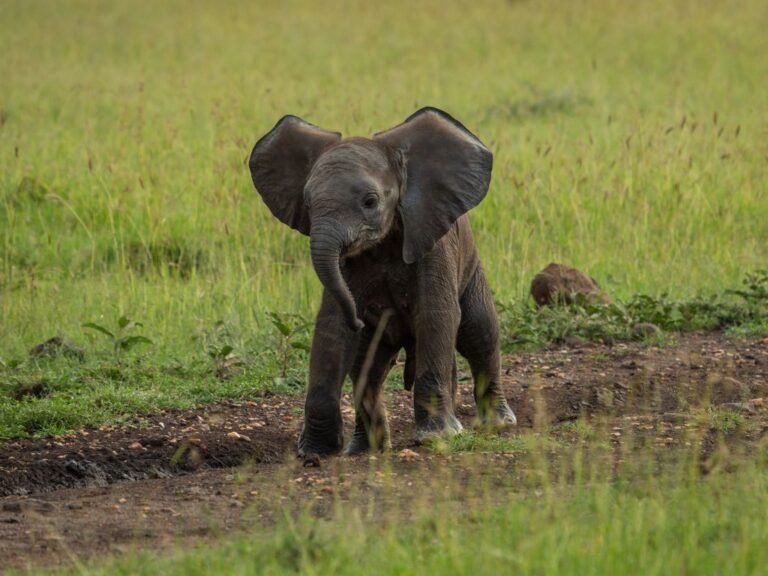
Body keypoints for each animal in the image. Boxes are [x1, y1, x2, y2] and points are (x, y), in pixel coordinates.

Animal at [248, 107, 516, 458]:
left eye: (370, 201)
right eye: (307, 203)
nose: (361, 321)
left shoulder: (433, 240)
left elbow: (437, 315)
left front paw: (436, 437)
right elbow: (332, 327)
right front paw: (315, 452)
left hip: (471, 270)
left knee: (479, 332)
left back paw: (497, 425)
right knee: (370, 367)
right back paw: (365, 449)